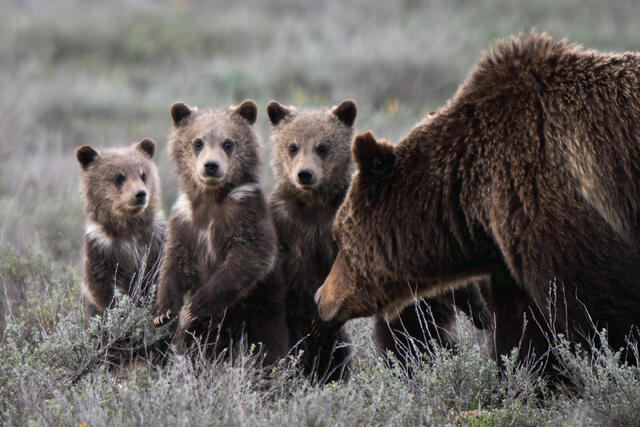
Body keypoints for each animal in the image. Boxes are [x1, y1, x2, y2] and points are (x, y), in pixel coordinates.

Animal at [75, 138, 165, 317]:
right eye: (119, 177)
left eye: (143, 174)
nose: (140, 194)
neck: (128, 229)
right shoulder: (101, 247)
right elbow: (101, 284)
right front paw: (120, 310)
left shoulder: (155, 240)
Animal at [153, 100, 288, 365]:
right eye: (197, 142)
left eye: (228, 143)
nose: (211, 166)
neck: (211, 198)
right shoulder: (185, 221)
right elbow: (175, 262)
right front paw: (163, 312)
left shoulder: (245, 213)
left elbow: (248, 257)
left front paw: (194, 307)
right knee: (191, 344)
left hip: (264, 311)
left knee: (270, 346)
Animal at [315, 32, 640, 370]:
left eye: (339, 239)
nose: (320, 298)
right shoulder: (510, 255)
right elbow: (524, 333)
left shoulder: (552, 206)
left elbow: (600, 311)